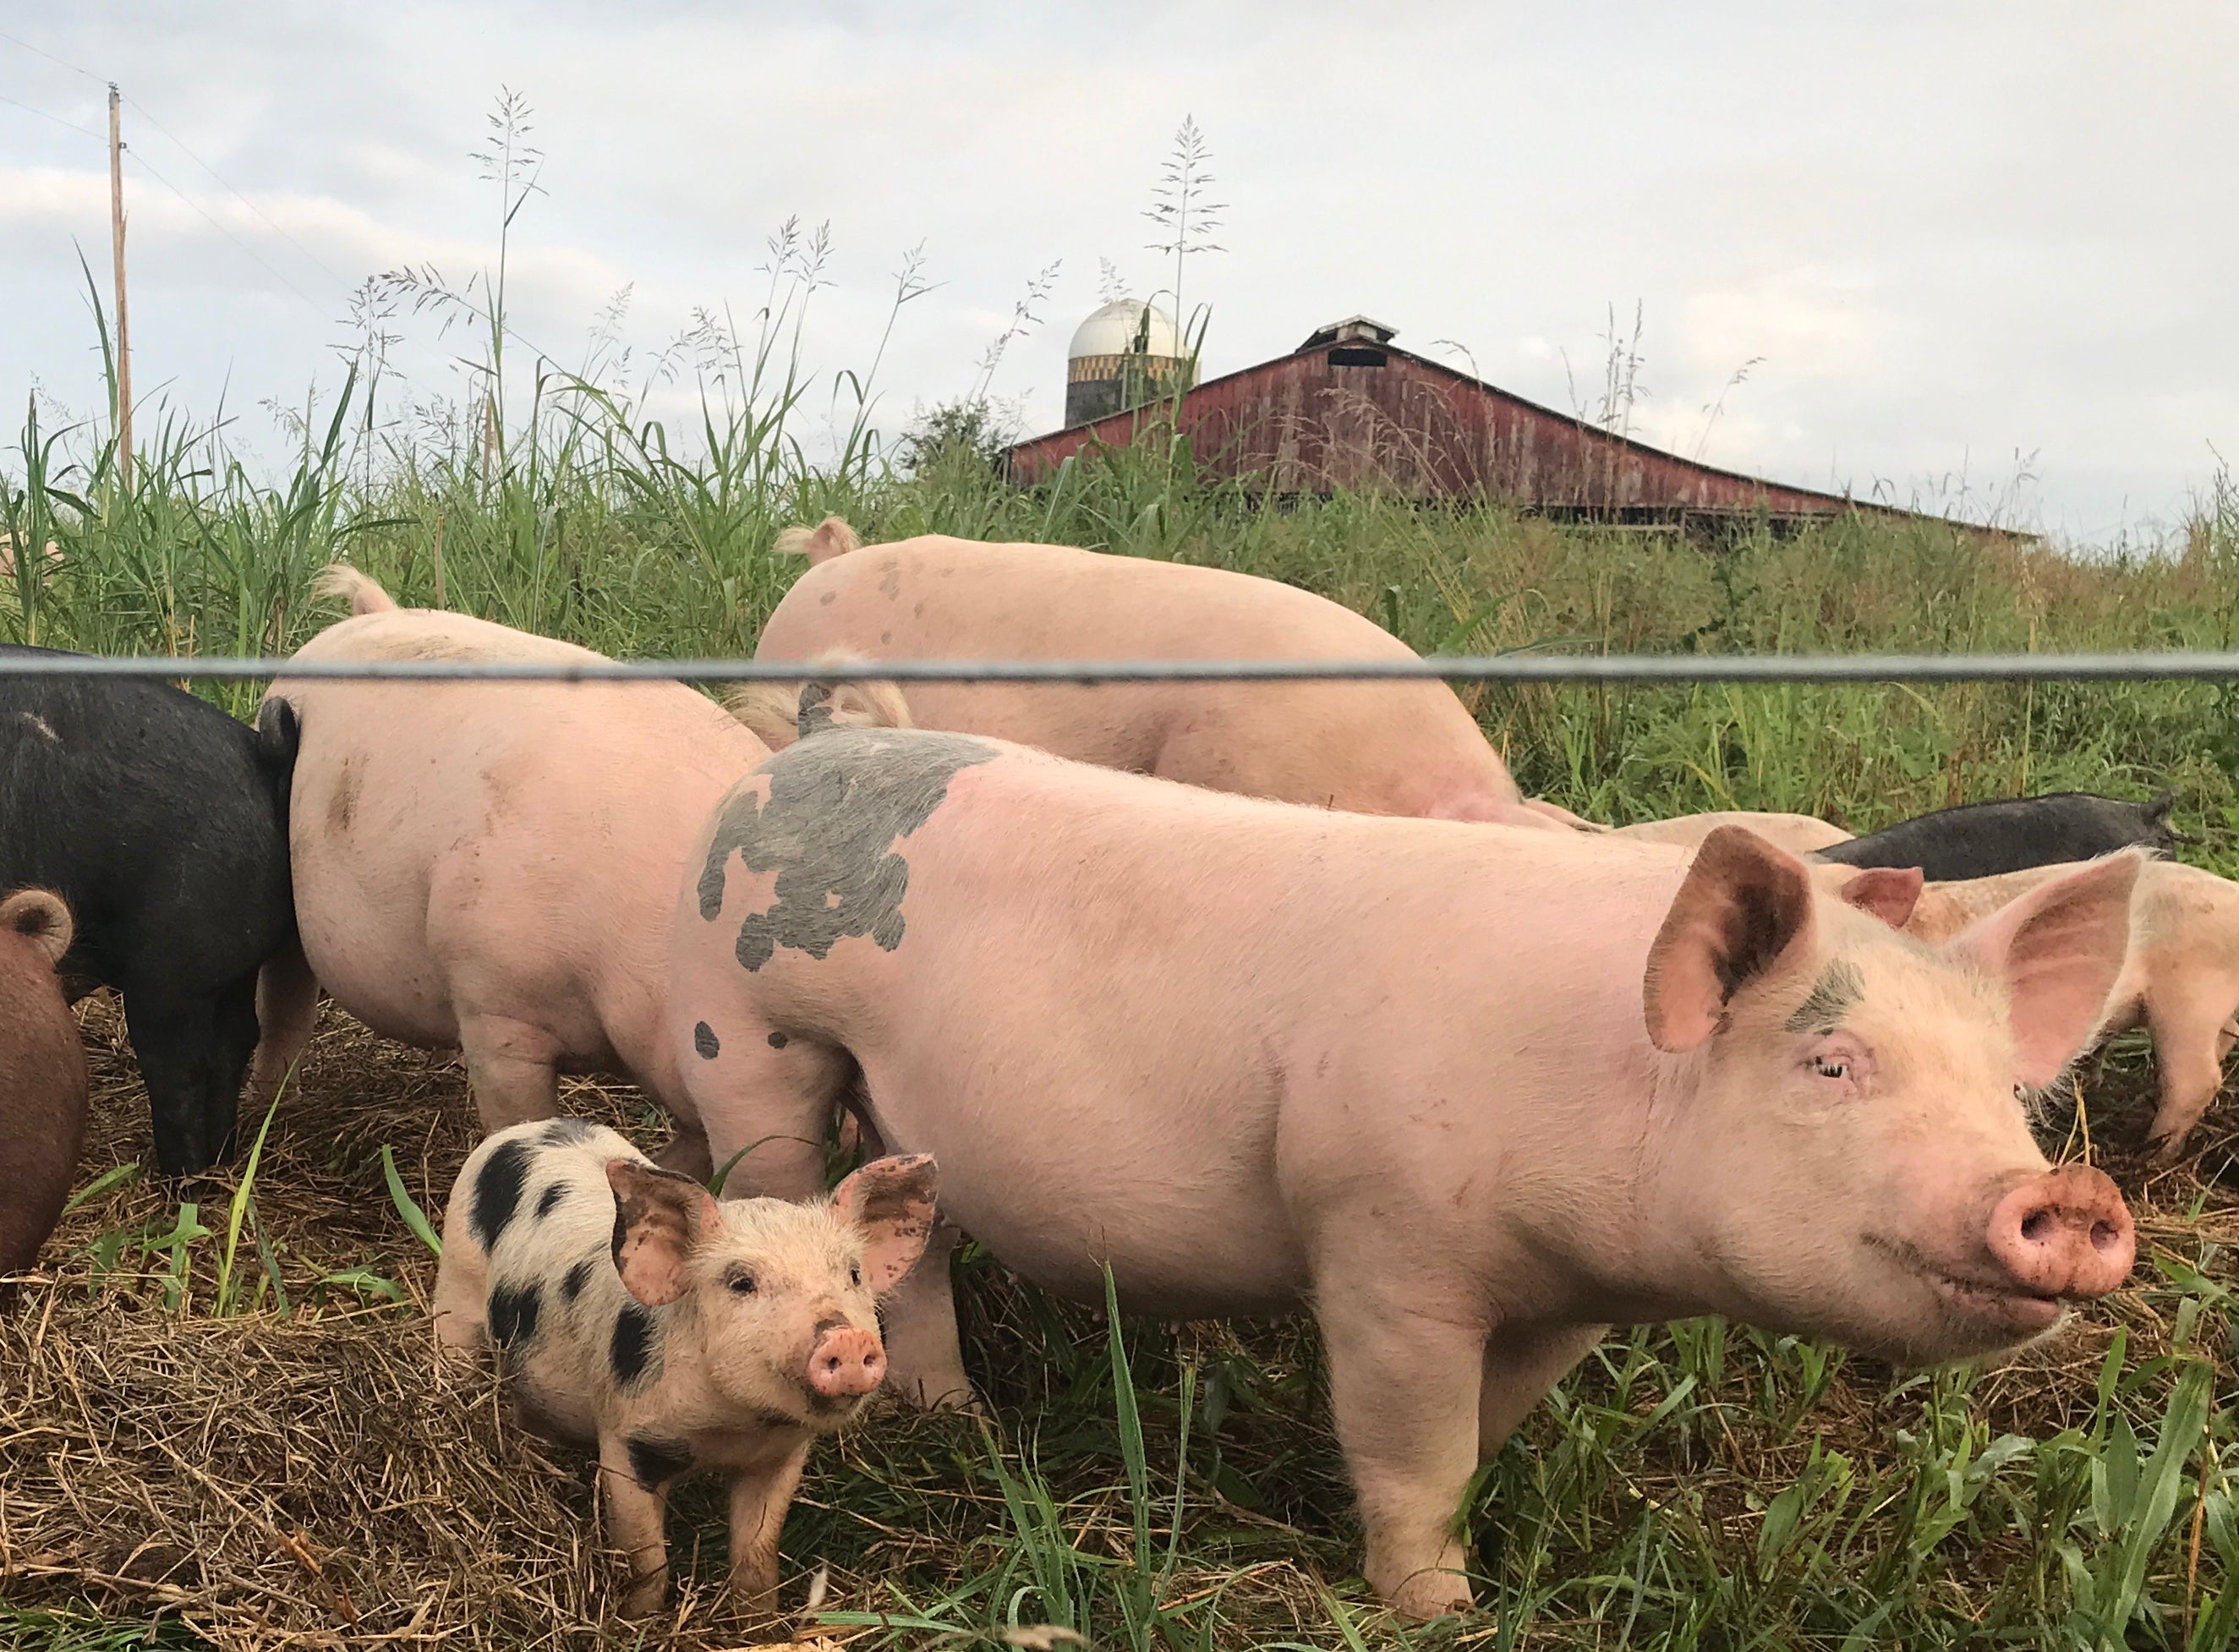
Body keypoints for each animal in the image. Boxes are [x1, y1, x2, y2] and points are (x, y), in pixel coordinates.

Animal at [0, 646, 298, 1174]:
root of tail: (258, 752)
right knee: (235, 1040)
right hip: (233, 959)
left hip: (170, 967)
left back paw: (183, 1180)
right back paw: (220, 1164)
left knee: (177, 1066)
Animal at [431, 1119, 936, 1618]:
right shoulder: (626, 1440)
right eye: (741, 1283)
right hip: (457, 1280)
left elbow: (757, 1555)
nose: (847, 1338)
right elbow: (645, 1557)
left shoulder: (780, 1456)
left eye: (853, 1274)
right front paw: (637, 1620)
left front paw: (760, 1624)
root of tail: (526, 1129)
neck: (730, 1428)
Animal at [668, 721, 2140, 1619]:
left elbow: (1486, 1438)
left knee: (903, 1242)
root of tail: (775, 769)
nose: (2070, 1199)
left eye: (2007, 1089)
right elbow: (1414, 1449)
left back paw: (951, 1420)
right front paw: (1438, 1608)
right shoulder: (1383, 1251)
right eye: (1832, 1063)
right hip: (750, 1038)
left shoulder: (1566, 1300)